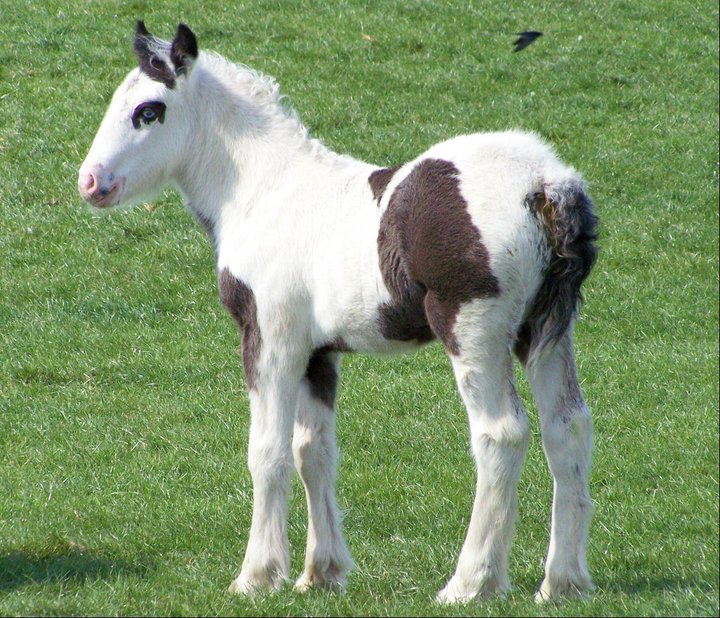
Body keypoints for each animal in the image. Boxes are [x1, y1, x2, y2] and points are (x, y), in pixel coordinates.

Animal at [78, 22, 598, 603]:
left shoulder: (271, 338)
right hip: (545, 331)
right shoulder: (318, 354)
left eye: (148, 111)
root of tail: (546, 186)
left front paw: (257, 576)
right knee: (567, 427)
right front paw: (320, 572)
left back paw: (470, 583)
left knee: (501, 434)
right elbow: (314, 451)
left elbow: (268, 451)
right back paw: (563, 583)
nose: (90, 182)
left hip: (473, 330)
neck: (264, 190)